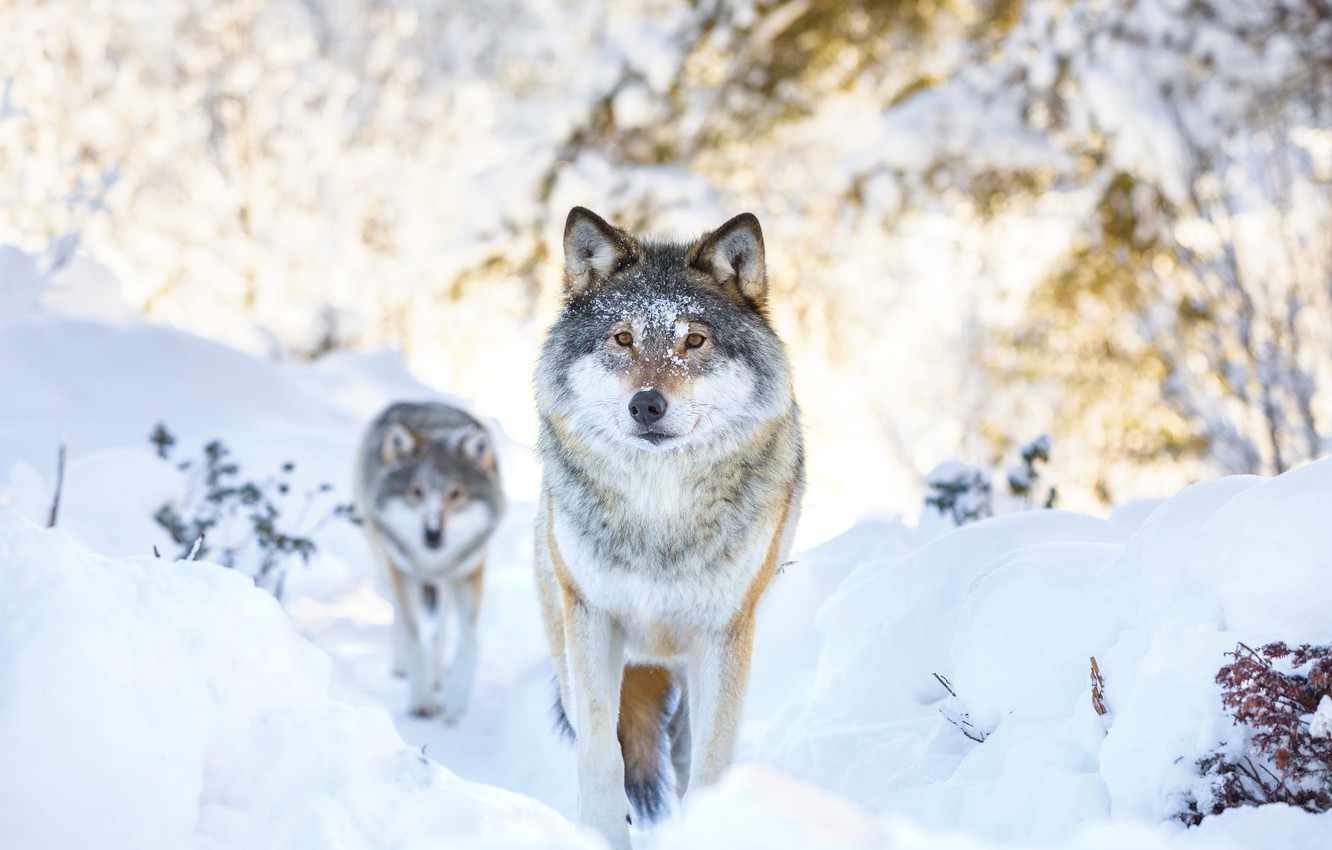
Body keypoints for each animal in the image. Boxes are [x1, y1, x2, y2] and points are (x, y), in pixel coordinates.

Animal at [354, 401, 504, 721]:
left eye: (456, 493)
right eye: (417, 492)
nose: (432, 534)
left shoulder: (469, 571)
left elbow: (469, 641)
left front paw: (456, 700)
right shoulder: (402, 571)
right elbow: (413, 637)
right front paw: (422, 700)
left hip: (447, 581)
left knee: (442, 624)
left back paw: (437, 674)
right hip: (385, 563)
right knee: (398, 614)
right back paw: (402, 666)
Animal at [533, 207, 805, 848]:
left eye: (695, 340)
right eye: (623, 338)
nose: (646, 405)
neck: (658, 511)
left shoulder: (724, 634)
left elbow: (710, 762)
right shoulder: (593, 619)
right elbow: (601, 756)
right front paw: (603, 834)